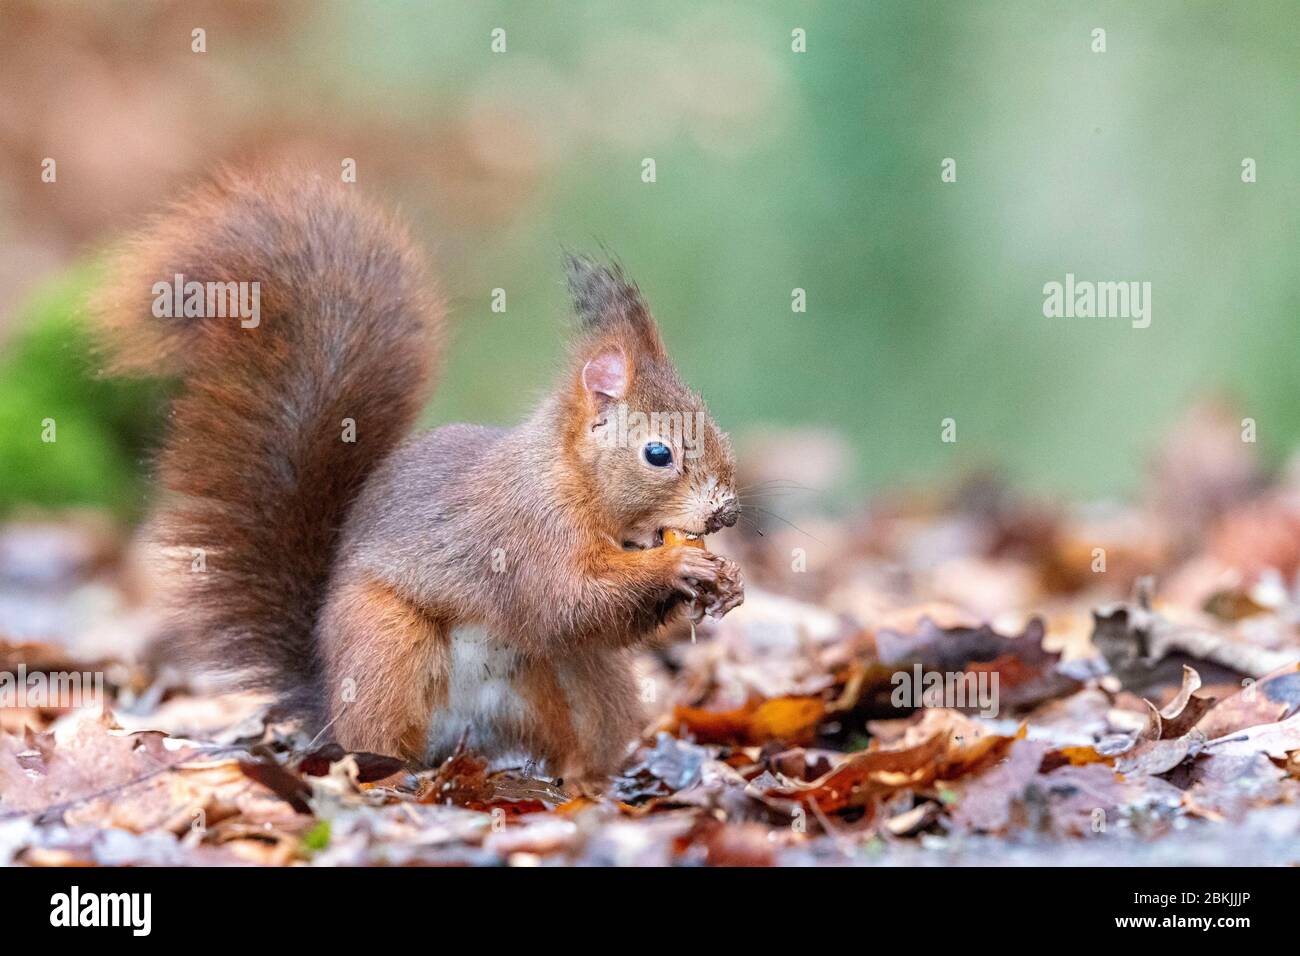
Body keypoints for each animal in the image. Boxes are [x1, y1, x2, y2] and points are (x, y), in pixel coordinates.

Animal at [98, 166, 744, 783]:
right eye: (658, 453)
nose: (726, 512)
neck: (572, 480)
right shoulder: (523, 531)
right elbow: (564, 599)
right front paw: (678, 565)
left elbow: (593, 621)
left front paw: (725, 582)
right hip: (385, 643)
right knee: (383, 735)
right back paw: (389, 773)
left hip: (581, 683)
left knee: (579, 733)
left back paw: (588, 783)